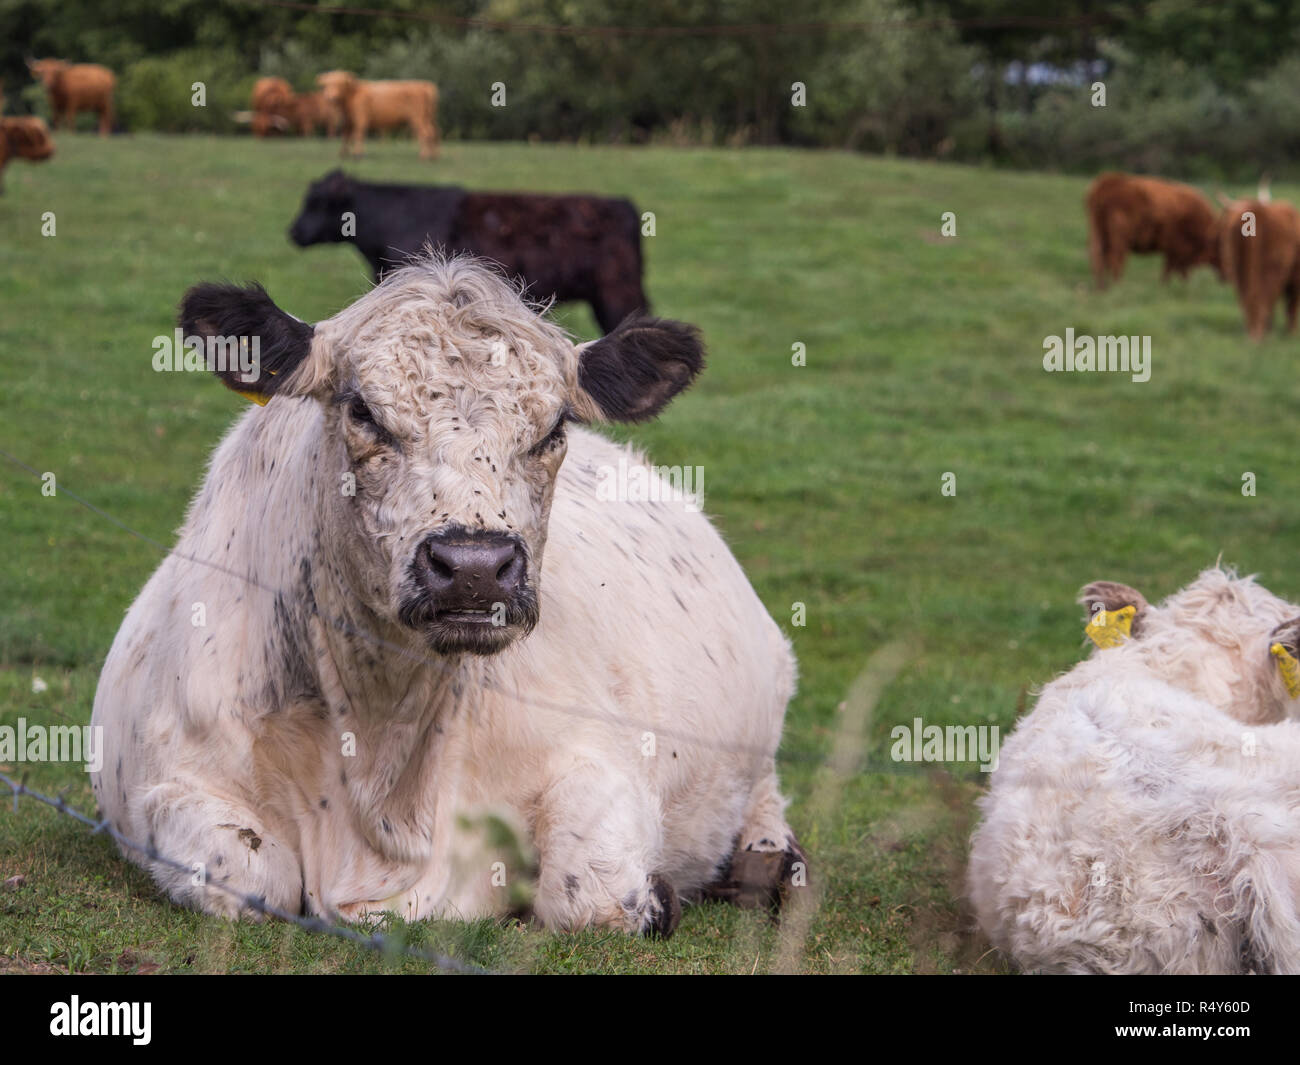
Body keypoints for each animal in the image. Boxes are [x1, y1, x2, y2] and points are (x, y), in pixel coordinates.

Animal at [90, 255, 805, 936]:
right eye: (362, 411)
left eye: (554, 427)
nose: (474, 567)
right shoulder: (173, 782)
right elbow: (247, 872)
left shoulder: (602, 761)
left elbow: (592, 893)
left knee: (762, 798)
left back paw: (764, 863)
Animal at [1085, 172, 1220, 288]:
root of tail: (1107, 183)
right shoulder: (1176, 248)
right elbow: (1172, 269)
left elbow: (1175, 269)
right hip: (1118, 238)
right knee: (1115, 258)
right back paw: (1117, 286)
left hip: (1098, 233)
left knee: (1098, 257)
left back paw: (1101, 287)